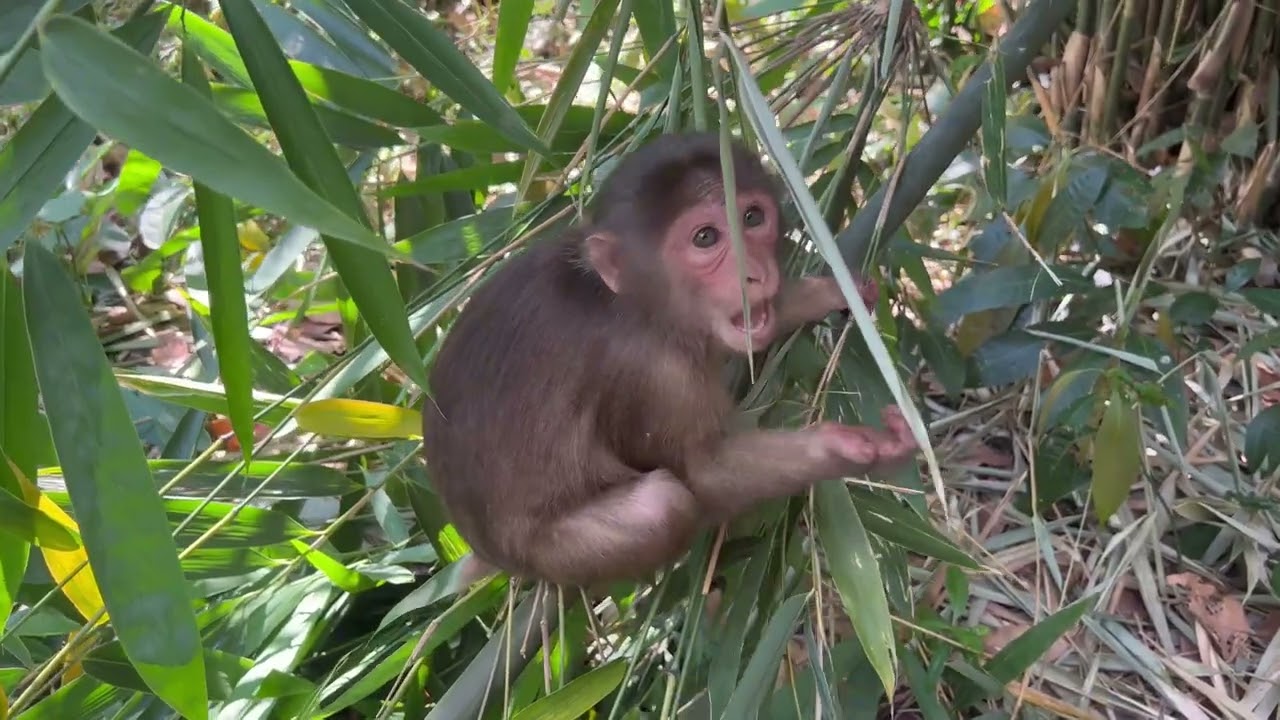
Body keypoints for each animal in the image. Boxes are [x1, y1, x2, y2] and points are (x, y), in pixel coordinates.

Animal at [421, 132, 918, 589]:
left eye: (752, 218)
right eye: (706, 238)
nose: (754, 273)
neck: (627, 301)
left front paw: (826, 292)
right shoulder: (653, 371)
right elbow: (704, 473)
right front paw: (844, 449)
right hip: (550, 555)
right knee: (663, 504)